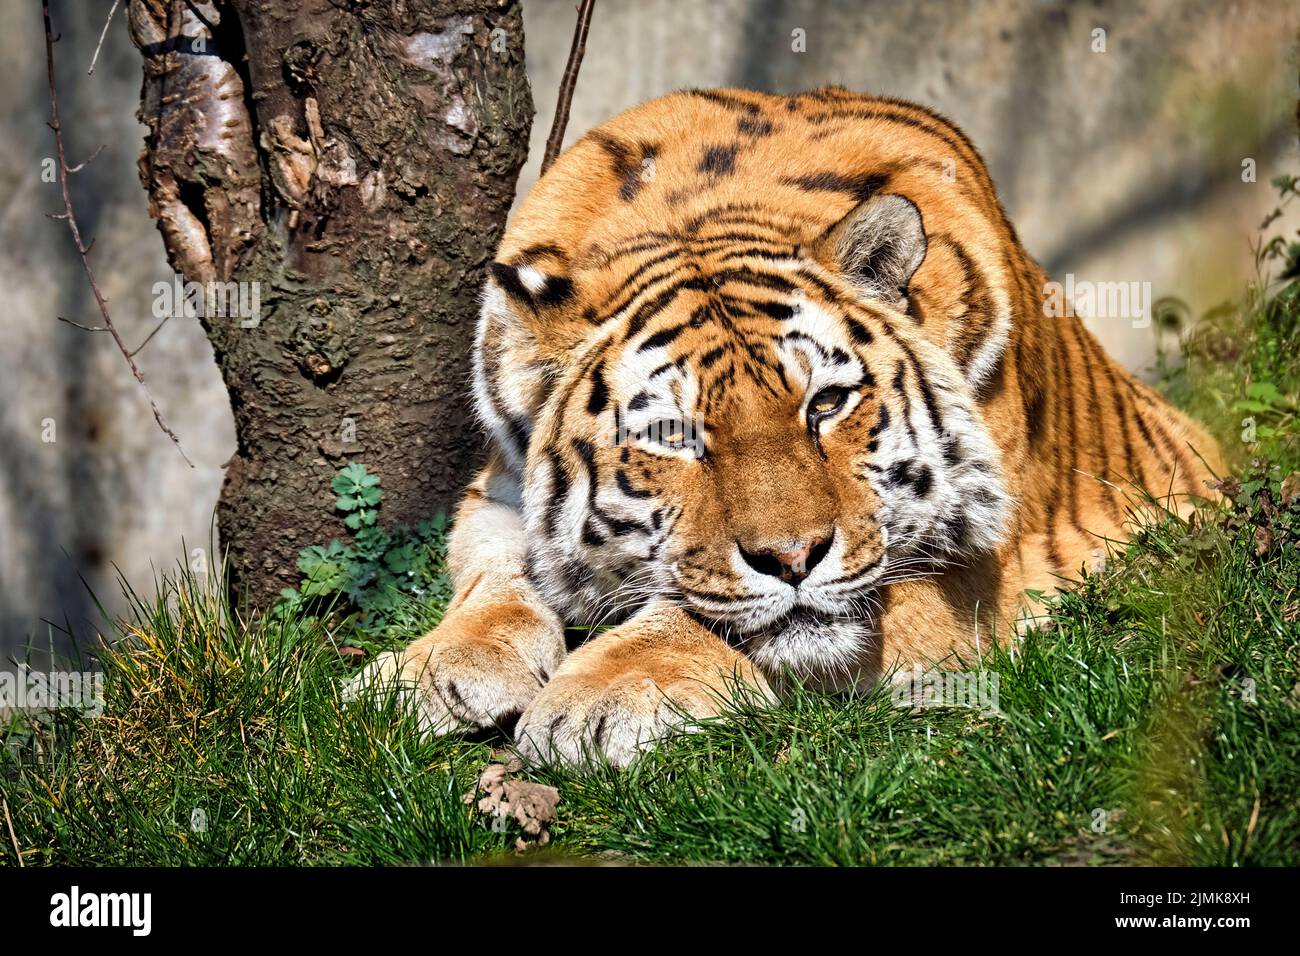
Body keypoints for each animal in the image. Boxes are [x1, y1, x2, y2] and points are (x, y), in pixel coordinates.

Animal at [348, 86, 1224, 767]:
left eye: (826, 405)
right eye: (673, 435)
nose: (795, 558)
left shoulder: (966, 565)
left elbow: (718, 618)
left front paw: (601, 695)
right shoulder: (498, 487)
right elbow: (494, 582)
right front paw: (421, 676)